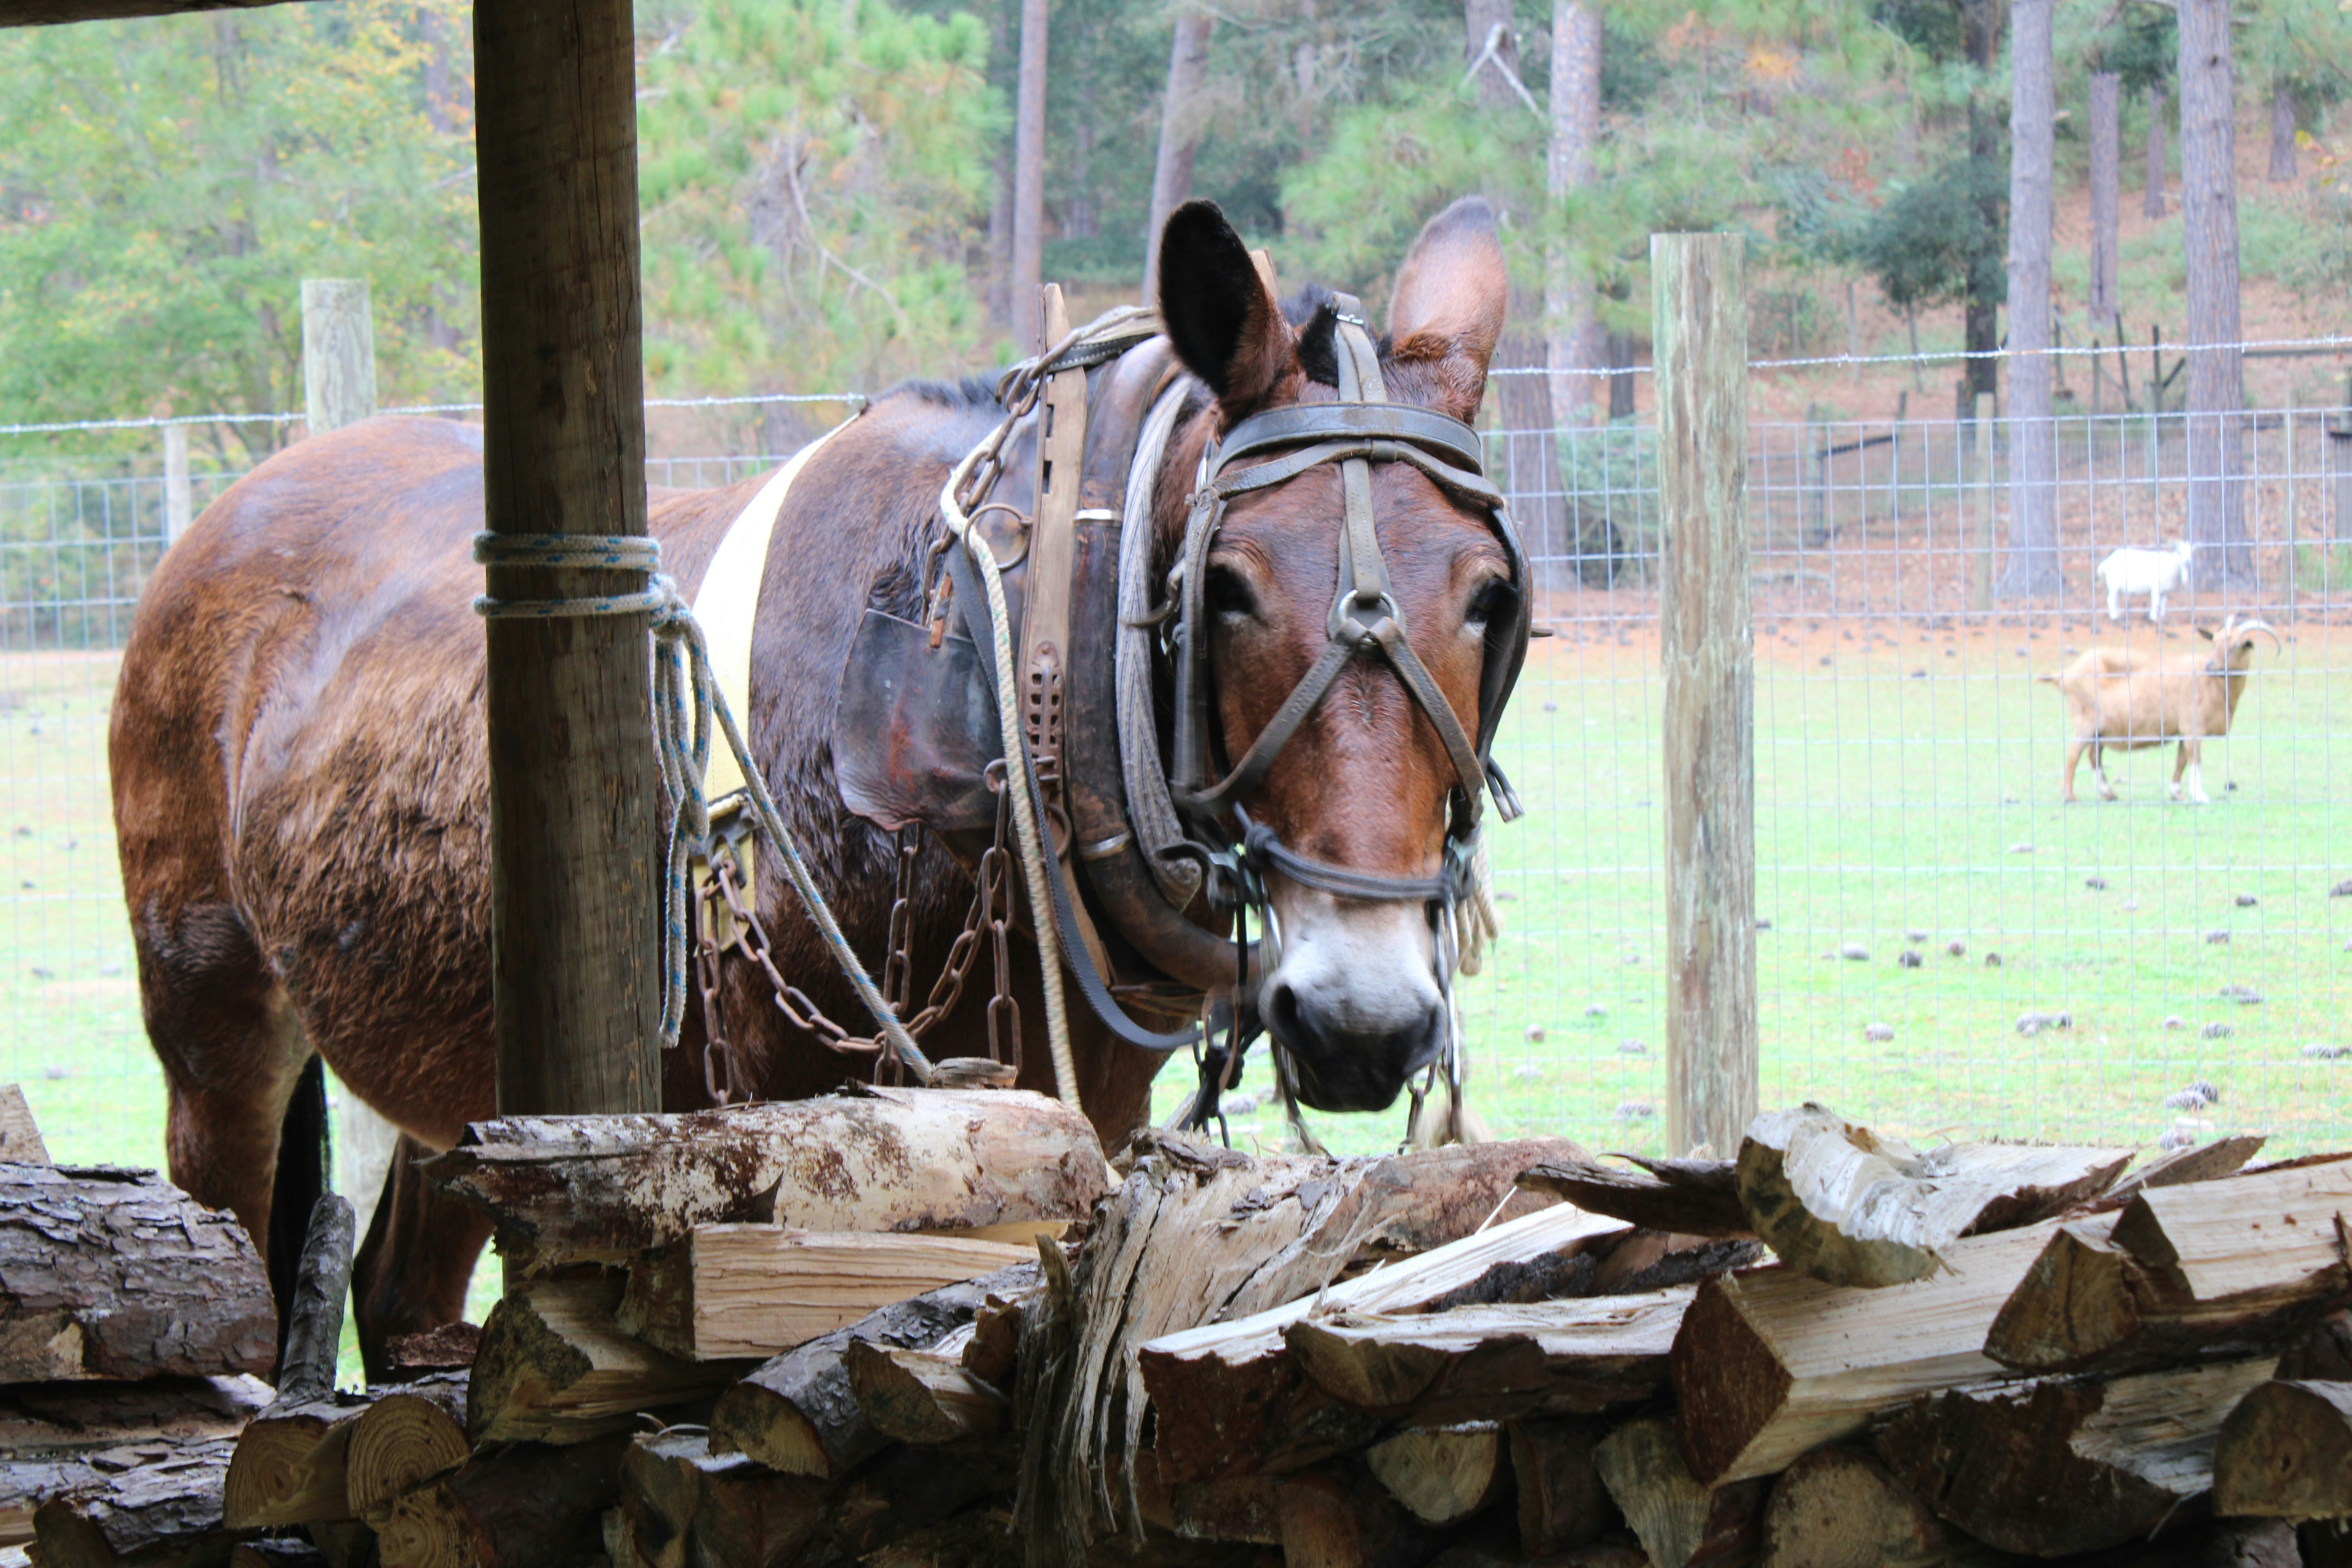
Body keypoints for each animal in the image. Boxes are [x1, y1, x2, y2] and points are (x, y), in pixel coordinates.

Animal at [108, 196, 1523, 1372]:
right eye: (1226, 589)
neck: (993, 688)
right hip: (214, 1025)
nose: (1361, 1018)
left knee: (401, 1299)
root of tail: (224, 515)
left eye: (1490, 597)